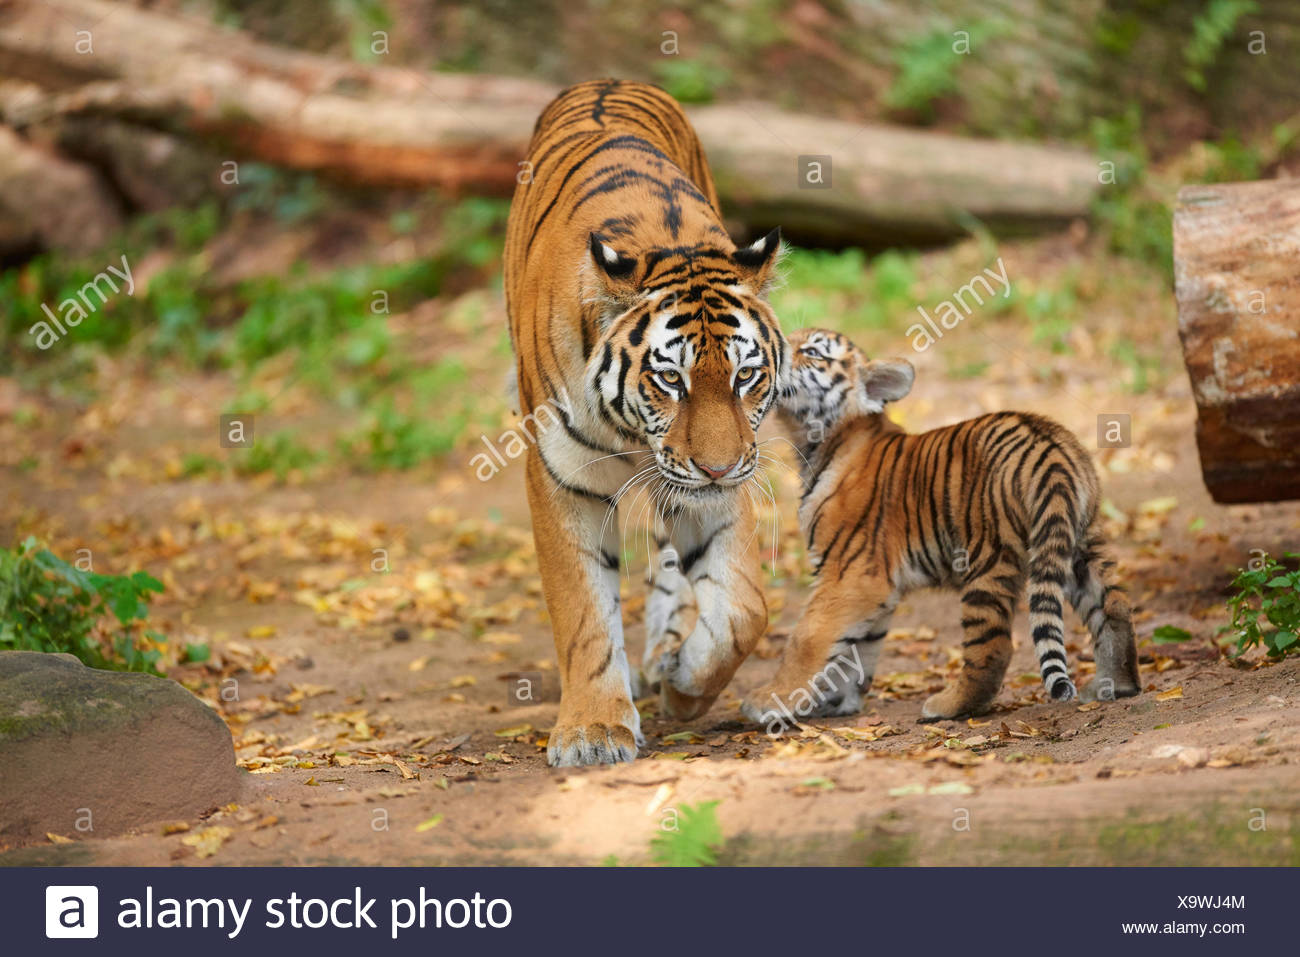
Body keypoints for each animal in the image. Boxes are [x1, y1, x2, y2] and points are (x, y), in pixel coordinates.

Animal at [504, 80, 788, 766]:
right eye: (671, 380)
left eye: (745, 375)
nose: (717, 466)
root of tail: (604, 81)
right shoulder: (561, 479)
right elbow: (582, 609)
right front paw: (593, 731)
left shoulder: (720, 485)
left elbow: (742, 608)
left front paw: (685, 684)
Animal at [740, 328, 1140, 731]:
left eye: (812, 351)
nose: (768, 355)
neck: (816, 441)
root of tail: (1049, 442)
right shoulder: (871, 587)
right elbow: (854, 648)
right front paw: (835, 702)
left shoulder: (849, 572)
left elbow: (809, 638)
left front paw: (770, 701)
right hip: (1078, 543)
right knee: (1115, 606)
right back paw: (1113, 687)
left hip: (987, 559)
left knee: (995, 646)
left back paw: (947, 705)